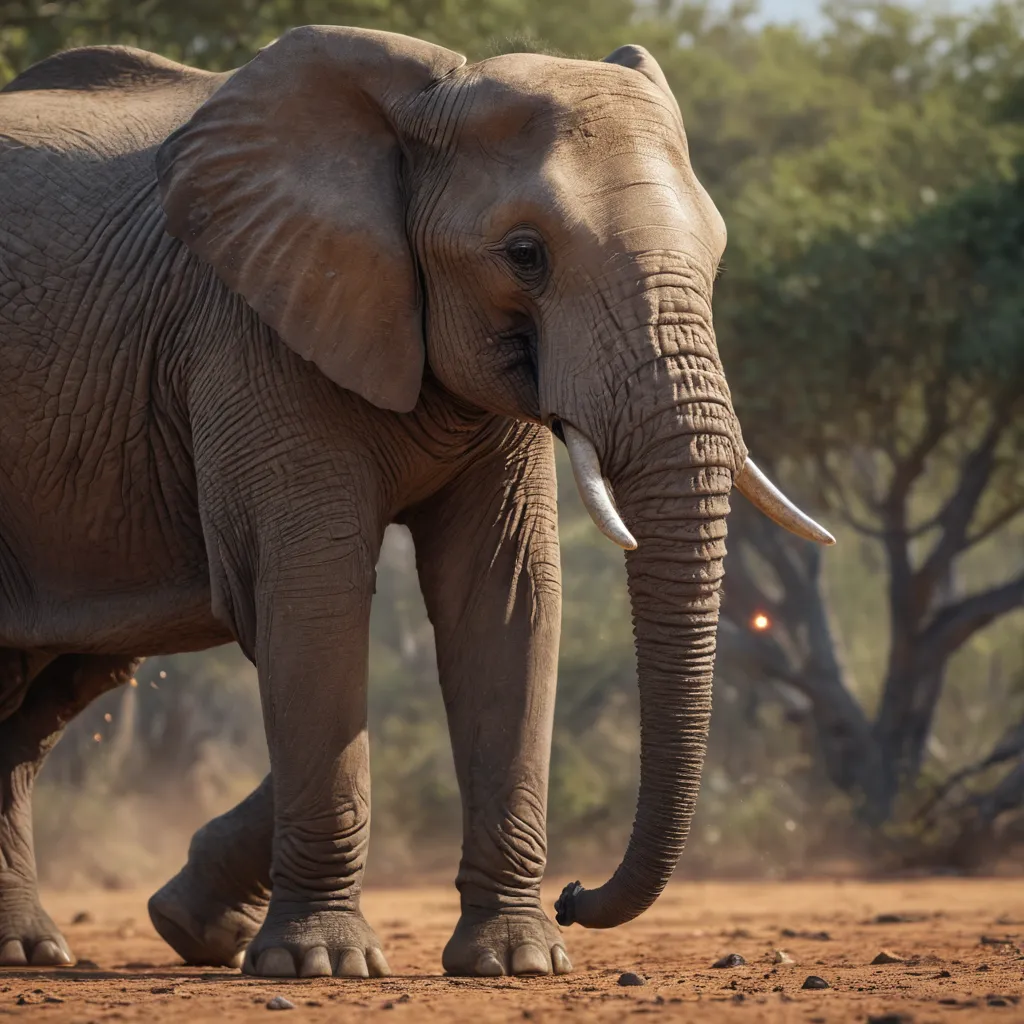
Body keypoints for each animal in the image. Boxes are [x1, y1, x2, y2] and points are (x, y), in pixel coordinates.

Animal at [0, 26, 833, 978]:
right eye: (524, 254)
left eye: (718, 256)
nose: (577, 894)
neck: (426, 95)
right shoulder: (252, 332)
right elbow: (312, 600)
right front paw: (318, 966)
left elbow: (506, 605)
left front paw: (516, 962)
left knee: (49, 692)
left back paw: (36, 949)